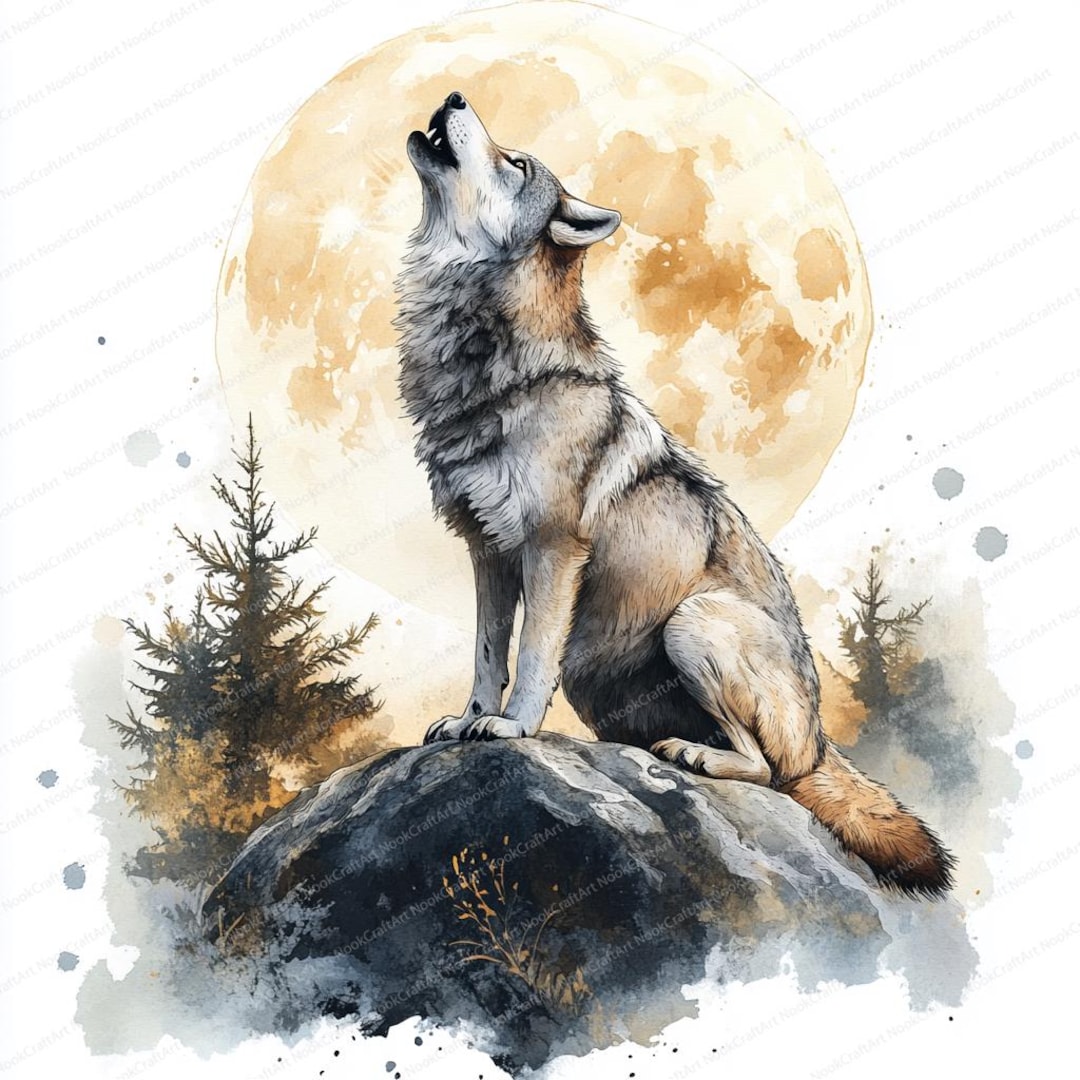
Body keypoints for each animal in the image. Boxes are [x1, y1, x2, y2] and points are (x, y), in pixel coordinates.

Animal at [395, 92, 954, 898]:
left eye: (517, 163)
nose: (453, 97)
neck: (493, 372)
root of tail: (821, 738)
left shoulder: (553, 548)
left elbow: (529, 657)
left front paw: (510, 728)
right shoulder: (487, 551)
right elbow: (487, 653)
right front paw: (467, 718)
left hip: (694, 624)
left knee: (769, 770)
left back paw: (696, 757)